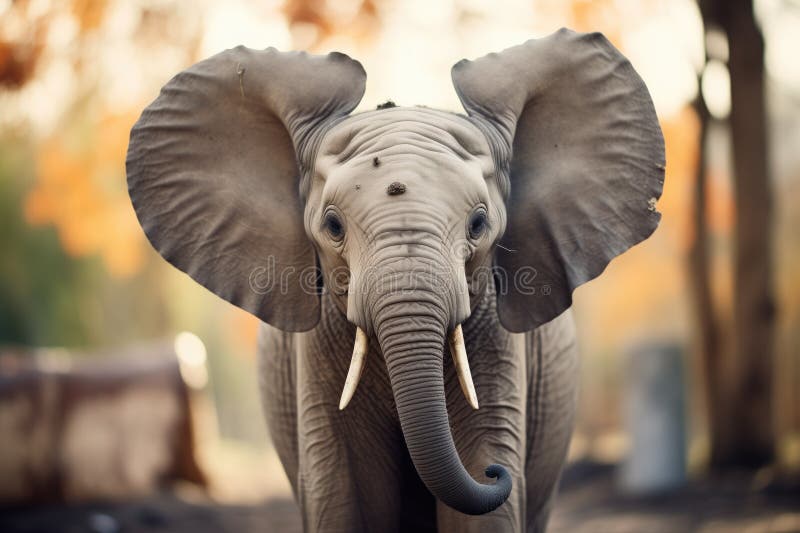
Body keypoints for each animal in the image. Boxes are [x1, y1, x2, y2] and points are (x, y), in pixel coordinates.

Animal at [126, 28, 664, 532]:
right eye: (333, 226)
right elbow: (344, 490)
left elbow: (484, 490)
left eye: (479, 224)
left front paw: (488, 462)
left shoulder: (494, 332)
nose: (495, 475)